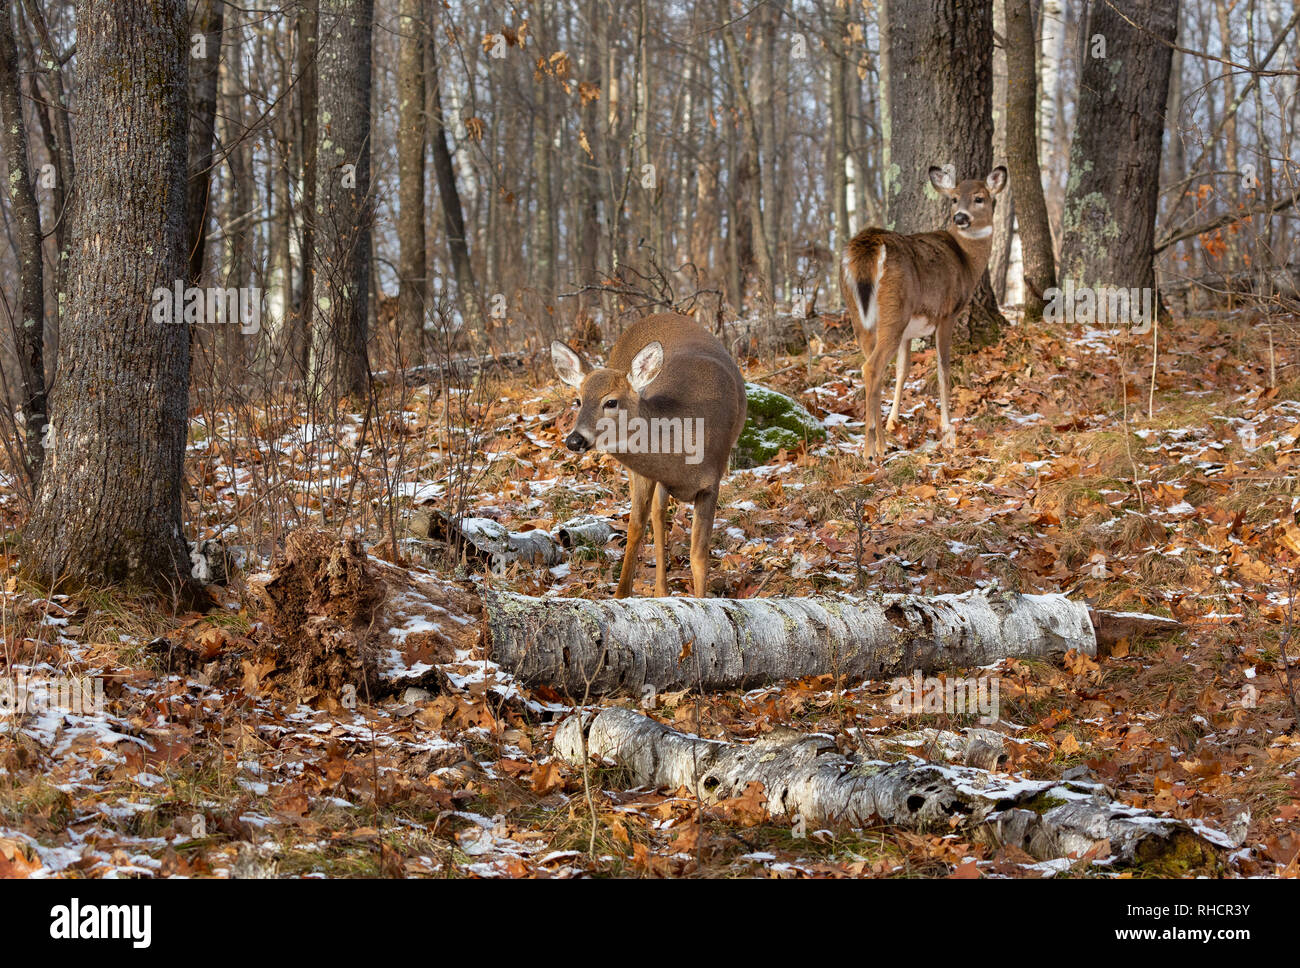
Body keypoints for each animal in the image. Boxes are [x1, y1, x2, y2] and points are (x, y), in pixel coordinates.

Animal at [551, 313, 747, 599]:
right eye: (578, 400)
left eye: (611, 402)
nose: (574, 440)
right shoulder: (646, 474)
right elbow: (635, 528)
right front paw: (621, 595)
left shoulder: (711, 482)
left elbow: (698, 556)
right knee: (654, 516)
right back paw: (660, 591)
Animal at [840, 165, 1007, 461]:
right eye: (954, 199)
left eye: (979, 198)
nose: (960, 217)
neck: (966, 261)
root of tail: (869, 245)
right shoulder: (947, 313)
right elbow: (943, 368)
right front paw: (949, 431)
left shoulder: (909, 332)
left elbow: (902, 371)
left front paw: (892, 423)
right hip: (894, 311)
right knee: (871, 367)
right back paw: (870, 451)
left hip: (861, 317)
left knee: (873, 368)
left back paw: (880, 444)